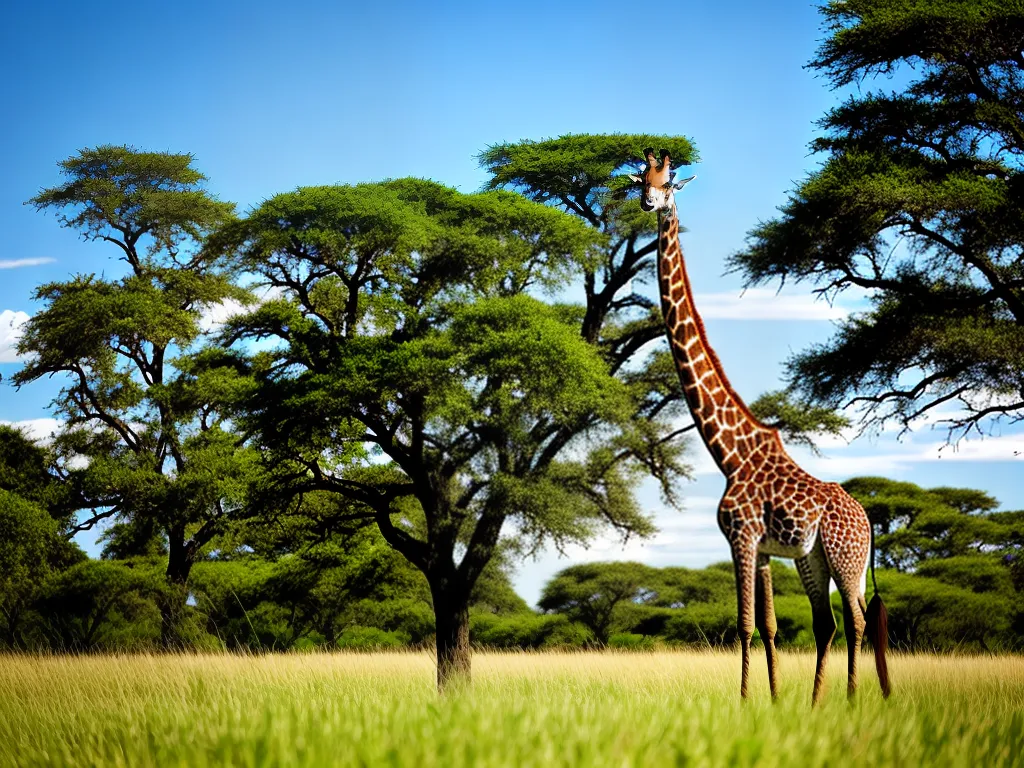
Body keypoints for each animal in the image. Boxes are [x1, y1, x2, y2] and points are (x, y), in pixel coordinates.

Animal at [629, 149, 891, 704]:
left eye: (671, 184)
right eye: (640, 180)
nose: (649, 202)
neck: (729, 452)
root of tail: (869, 522)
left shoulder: (742, 539)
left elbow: (745, 624)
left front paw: (747, 702)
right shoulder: (768, 550)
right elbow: (769, 626)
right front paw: (770, 701)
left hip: (845, 560)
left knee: (857, 621)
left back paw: (852, 701)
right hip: (815, 559)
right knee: (829, 623)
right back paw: (818, 704)